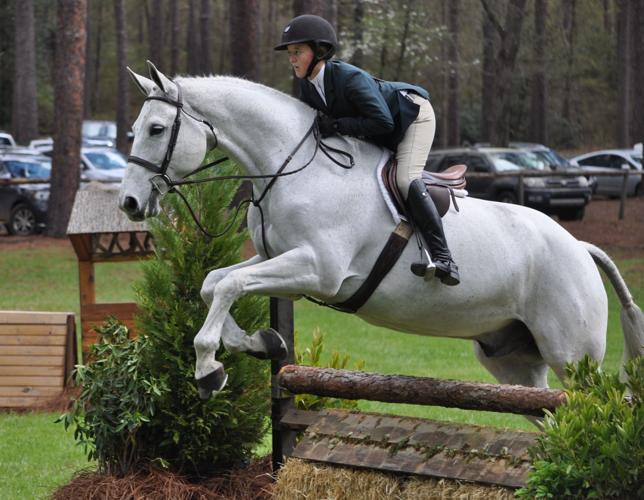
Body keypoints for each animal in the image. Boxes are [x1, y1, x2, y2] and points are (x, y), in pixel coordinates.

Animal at [120, 62, 643, 400]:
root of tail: (581, 247)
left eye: (156, 129)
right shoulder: (279, 258)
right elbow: (216, 282)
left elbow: (228, 285)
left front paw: (208, 368)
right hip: (513, 361)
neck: (293, 167)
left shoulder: (320, 270)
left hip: (572, 355)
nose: (129, 203)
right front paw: (261, 343)